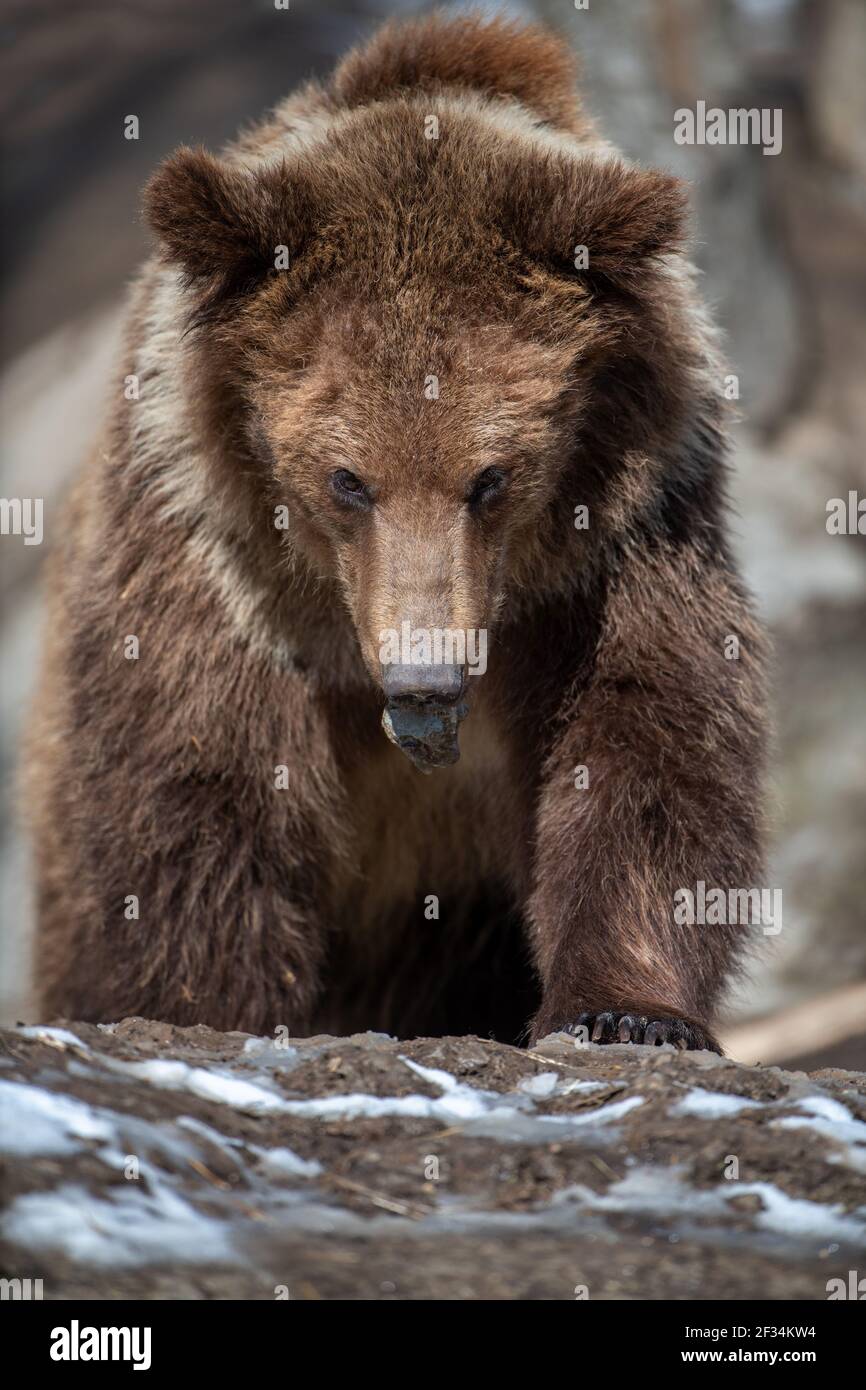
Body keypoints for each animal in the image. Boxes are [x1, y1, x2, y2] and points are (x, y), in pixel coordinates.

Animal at [25, 12, 768, 1050]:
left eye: (490, 478)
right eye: (349, 480)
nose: (425, 678)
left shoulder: (617, 545)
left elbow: (643, 742)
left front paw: (626, 1011)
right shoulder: (215, 562)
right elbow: (194, 791)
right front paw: (208, 1010)